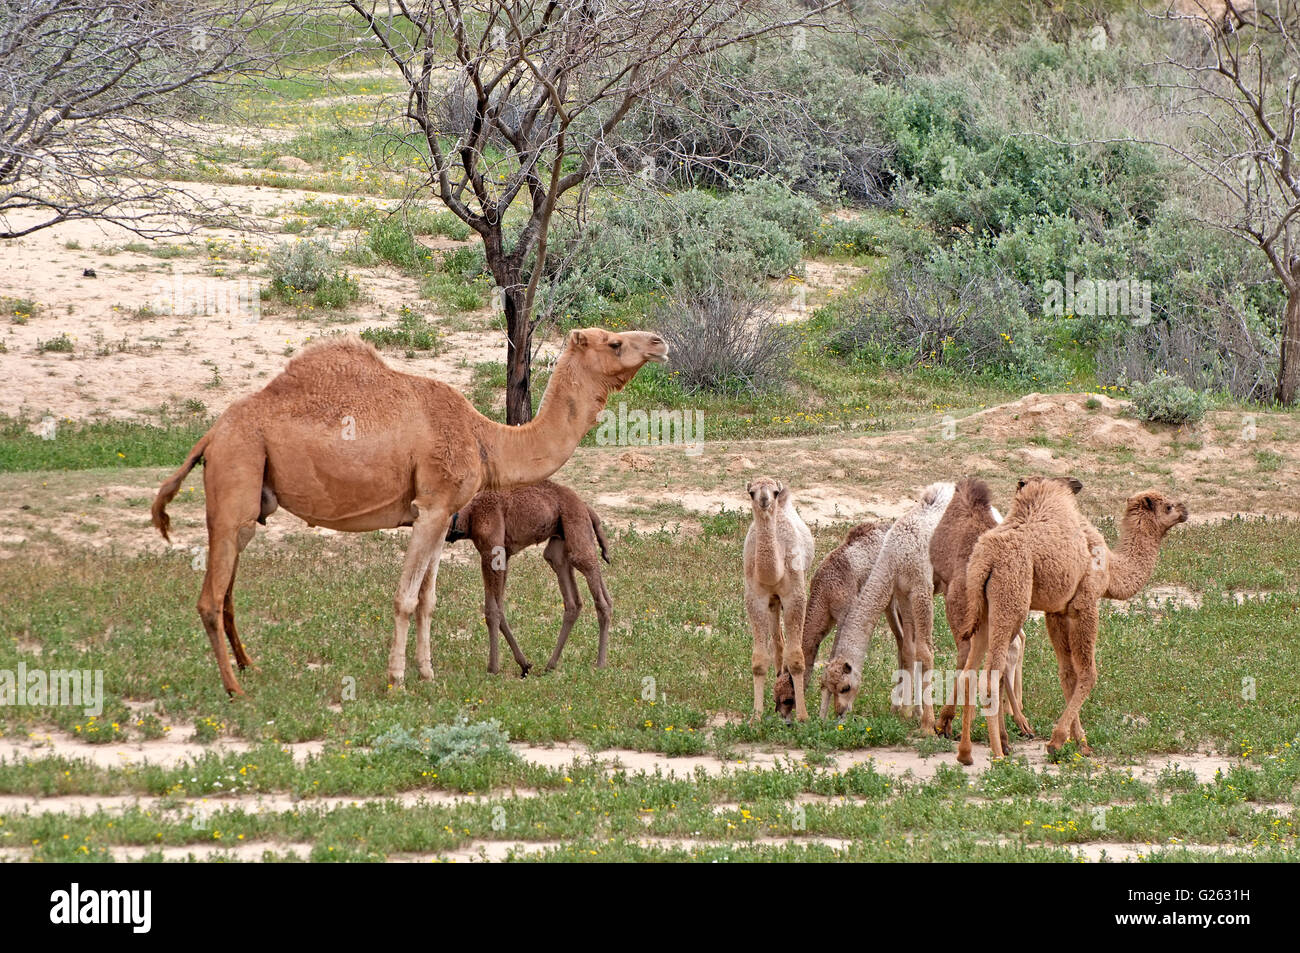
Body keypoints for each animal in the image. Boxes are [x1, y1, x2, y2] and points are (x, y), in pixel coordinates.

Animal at [446, 480, 612, 676]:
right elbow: (498, 608)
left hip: (576, 529)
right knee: (575, 600)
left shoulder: (491, 551)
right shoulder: (502, 556)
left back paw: (600, 664)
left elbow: (492, 611)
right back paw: (550, 665)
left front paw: (493, 669)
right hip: (561, 544)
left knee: (600, 598)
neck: (469, 515)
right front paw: (524, 664)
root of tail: (585, 506)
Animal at [743, 477, 816, 721]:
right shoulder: (755, 597)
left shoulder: (795, 596)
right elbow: (758, 660)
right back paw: (777, 676)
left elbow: (796, 658)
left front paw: (803, 715)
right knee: (778, 642)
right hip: (773, 601)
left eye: (774, 491)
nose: (765, 499)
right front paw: (755, 717)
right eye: (752, 492)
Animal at [771, 521, 909, 720]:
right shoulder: (828, 621)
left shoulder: (845, 614)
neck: (825, 594)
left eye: (787, 699)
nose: (783, 717)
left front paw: (824, 717)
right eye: (775, 698)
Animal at [820, 482, 955, 733]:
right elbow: (909, 650)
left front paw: (927, 723)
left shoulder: (921, 588)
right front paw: (907, 712)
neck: (894, 557)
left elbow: (925, 652)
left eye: (845, 687)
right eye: (828, 687)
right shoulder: (903, 593)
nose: (840, 712)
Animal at [954, 477, 1188, 765]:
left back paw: (965, 753)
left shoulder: (1057, 612)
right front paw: (1058, 741)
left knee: (970, 672)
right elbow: (1088, 673)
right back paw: (998, 753)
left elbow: (1068, 674)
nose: (1185, 509)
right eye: (1168, 506)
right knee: (991, 674)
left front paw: (1081, 744)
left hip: (983, 607)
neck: (1111, 568)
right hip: (1011, 599)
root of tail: (985, 558)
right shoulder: (1085, 605)